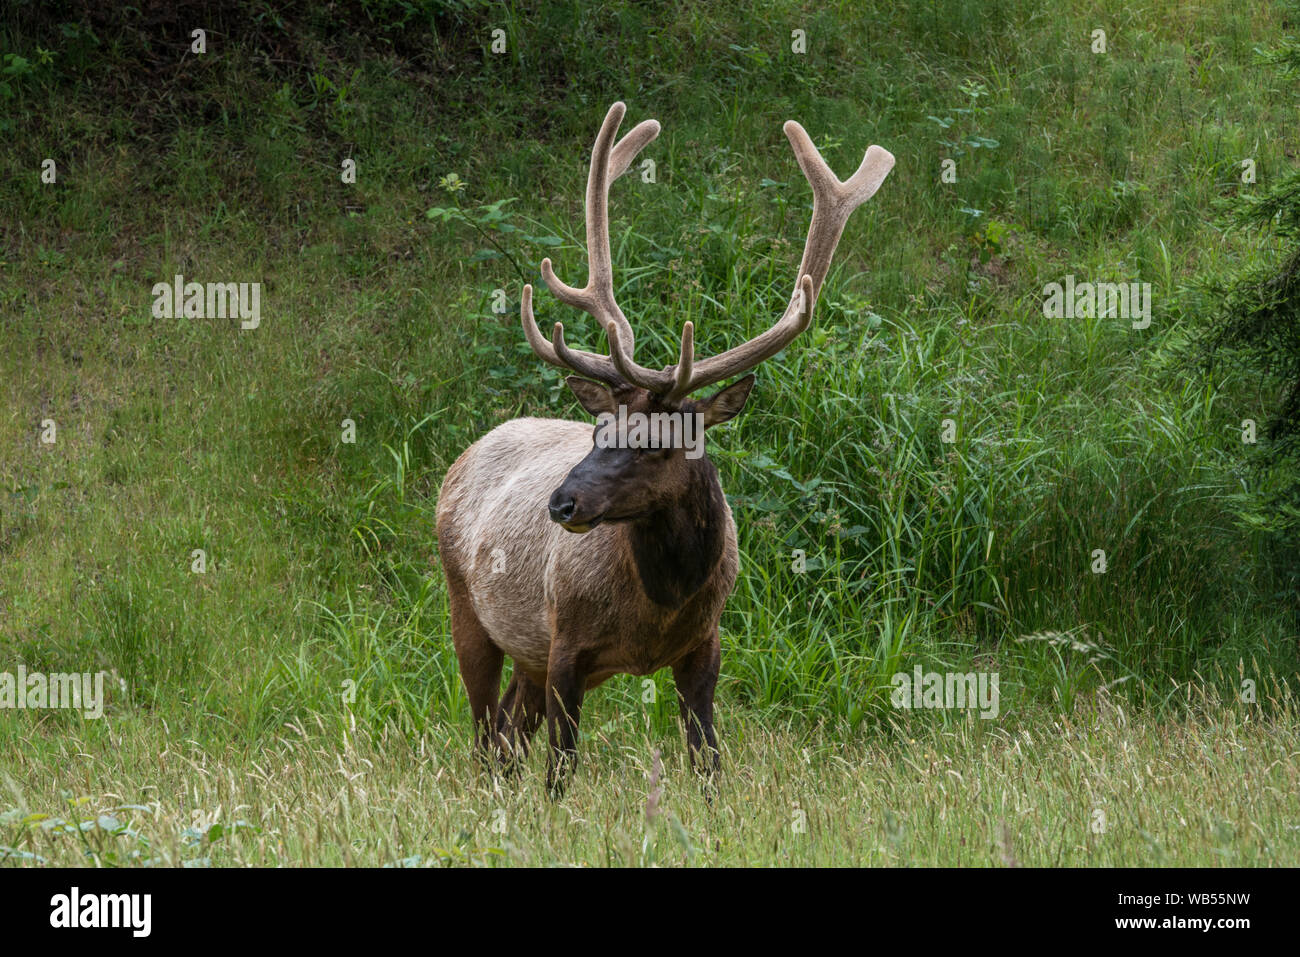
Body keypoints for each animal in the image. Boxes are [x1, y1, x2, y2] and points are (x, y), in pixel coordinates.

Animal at [436, 102, 893, 792]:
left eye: (656, 443)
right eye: (599, 430)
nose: (562, 503)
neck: (661, 603)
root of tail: (465, 456)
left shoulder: (706, 645)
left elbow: (708, 763)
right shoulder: (564, 640)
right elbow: (560, 771)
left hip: (526, 653)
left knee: (508, 733)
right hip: (469, 609)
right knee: (487, 737)